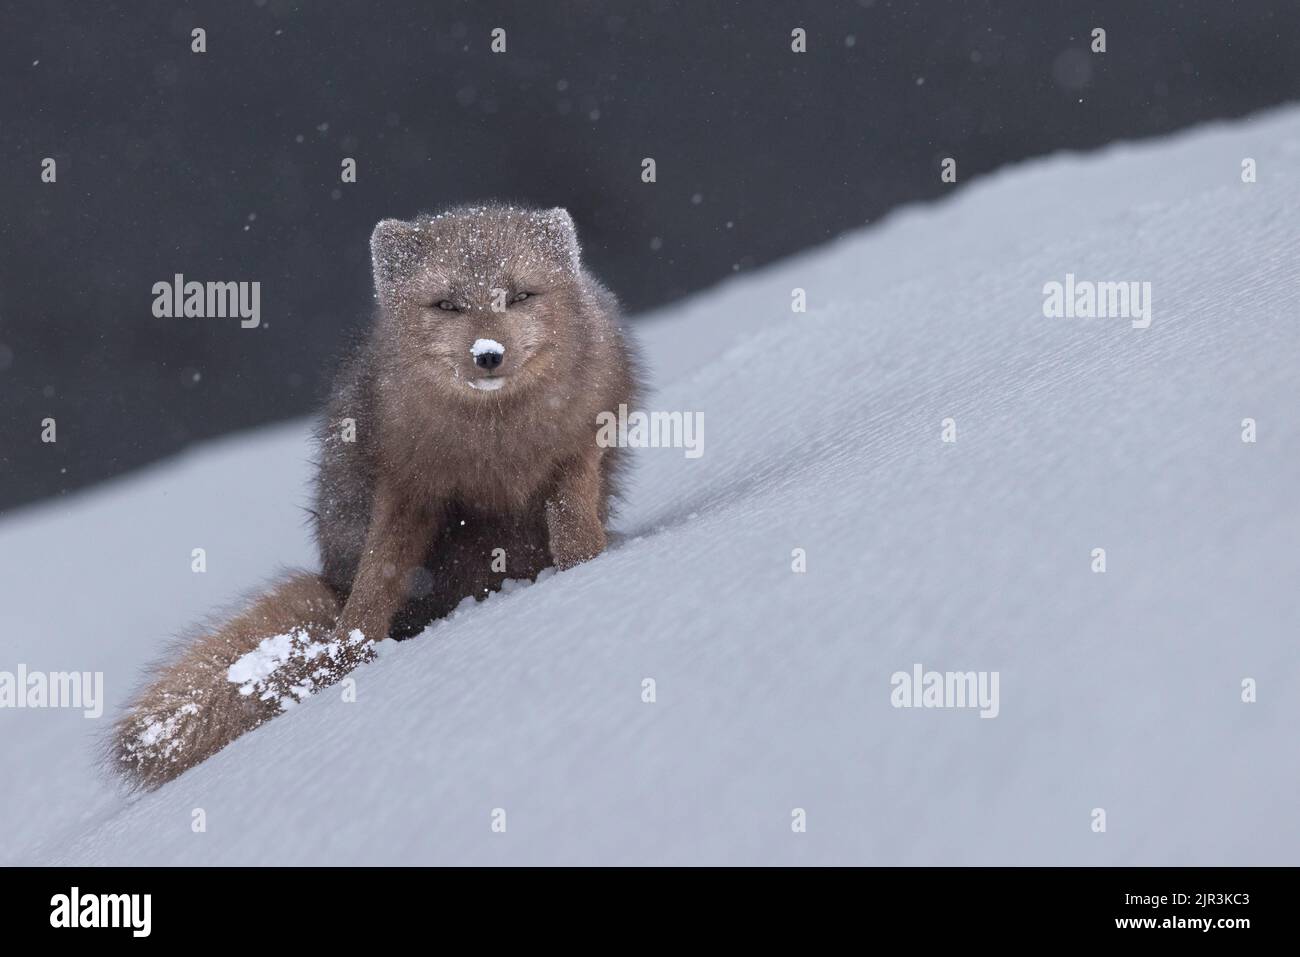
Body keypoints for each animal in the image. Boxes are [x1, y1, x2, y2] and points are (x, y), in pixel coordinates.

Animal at [112, 204, 640, 788]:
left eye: (521, 296)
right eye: (447, 305)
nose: (488, 355)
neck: (498, 445)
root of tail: (330, 582)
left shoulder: (583, 440)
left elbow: (570, 514)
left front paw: (583, 568)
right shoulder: (407, 484)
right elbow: (378, 577)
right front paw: (351, 661)